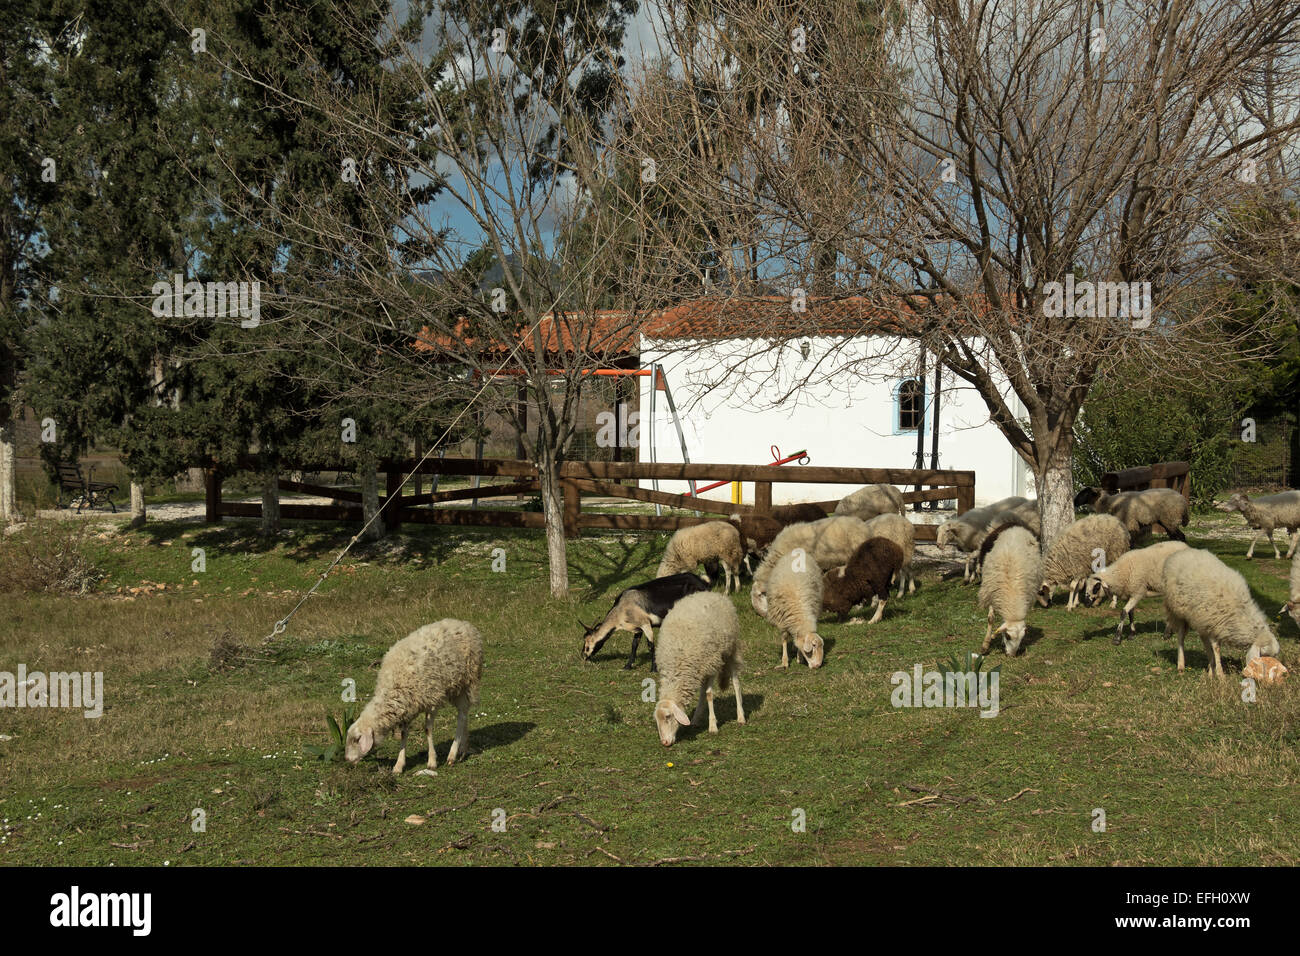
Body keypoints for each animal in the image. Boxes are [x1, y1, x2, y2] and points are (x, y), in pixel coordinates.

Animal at [344, 620, 483, 774]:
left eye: (357, 739)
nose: (347, 759)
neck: (394, 687)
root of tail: (462, 623)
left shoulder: (431, 699)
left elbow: (428, 729)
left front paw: (432, 761)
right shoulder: (407, 706)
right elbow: (404, 733)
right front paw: (399, 765)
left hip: (467, 681)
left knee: (462, 716)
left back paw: (453, 754)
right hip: (456, 687)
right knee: (464, 713)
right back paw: (463, 749)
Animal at [581, 572, 710, 670]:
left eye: (587, 643)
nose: (583, 656)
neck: (621, 609)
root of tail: (702, 582)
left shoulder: (646, 624)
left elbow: (651, 645)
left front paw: (654, 668)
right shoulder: (638, 628)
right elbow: (634, 645)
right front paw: (627, 666)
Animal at [653, 592, 745, 746]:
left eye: (668, 716)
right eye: (657, 720)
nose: (664, 742)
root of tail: (712, 593)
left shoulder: (712, 663)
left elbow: (709, 694)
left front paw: (713, 726)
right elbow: (704, 693)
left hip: (730, 650)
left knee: (736, 683)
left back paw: (741, 717)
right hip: (701, 669)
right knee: (702, 691)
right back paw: (696, 719)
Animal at [978, 526, 1042, 656]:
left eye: (1022, 638)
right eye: (1008, 636)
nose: (1012, 656)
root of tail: (1016, 527)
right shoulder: (991, 592)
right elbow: (990, 619)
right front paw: (985, 645)